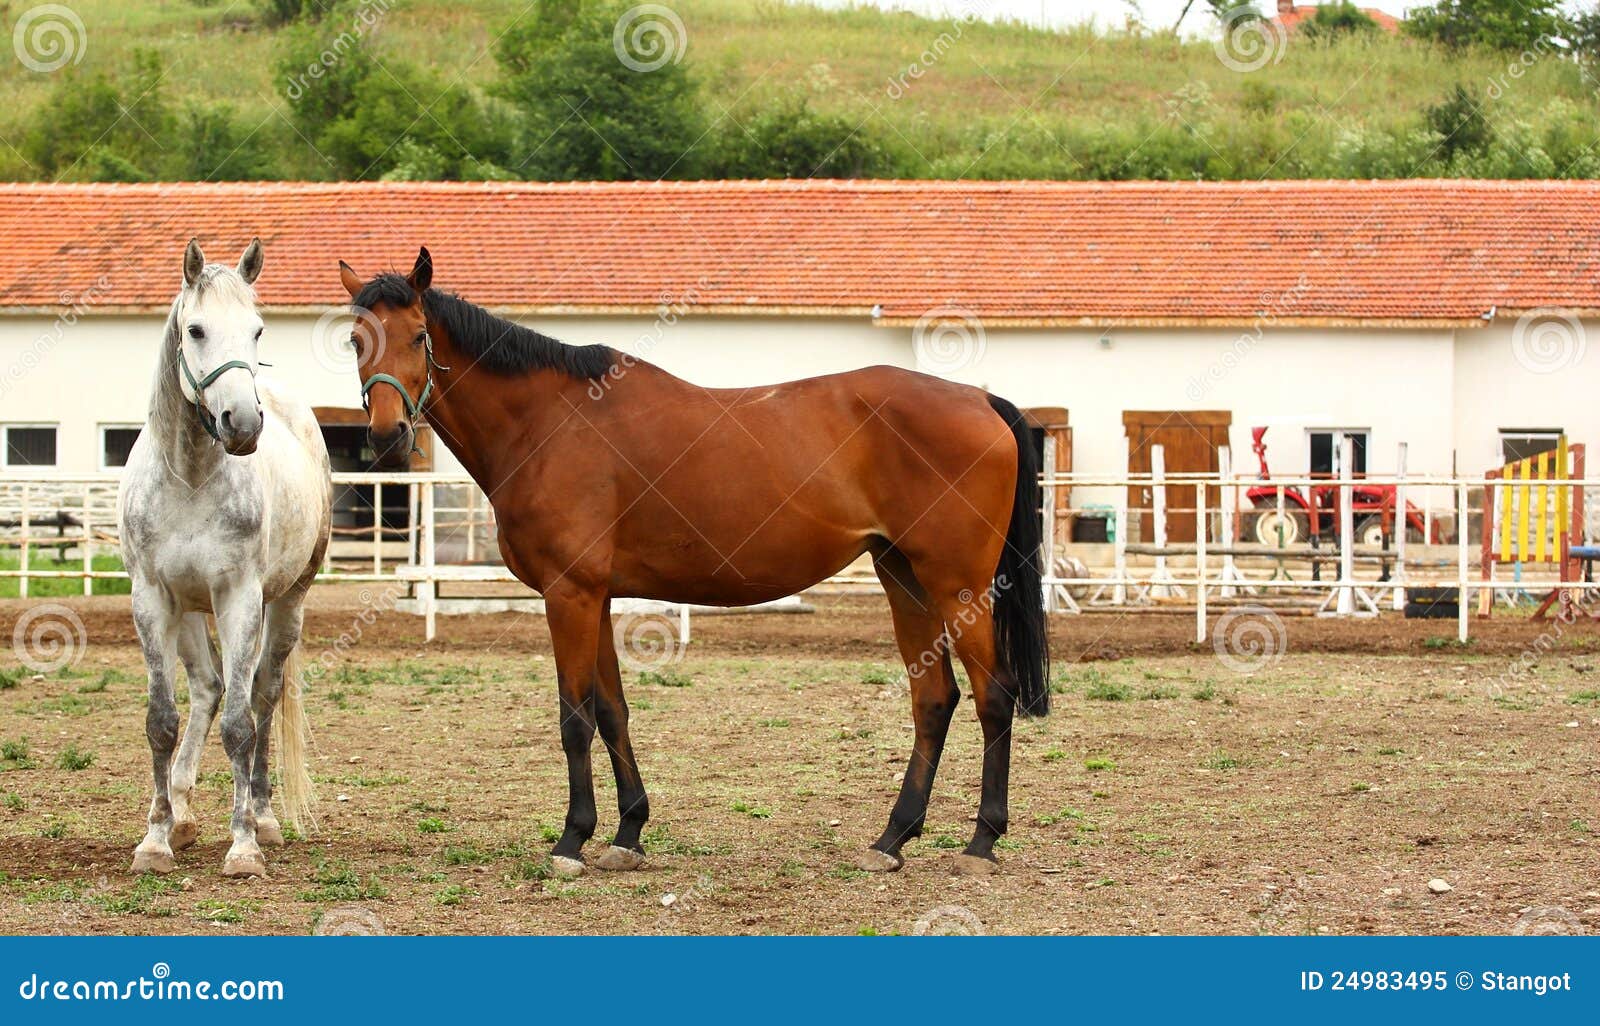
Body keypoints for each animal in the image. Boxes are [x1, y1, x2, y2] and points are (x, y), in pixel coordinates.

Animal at [120, 239, 332, 878]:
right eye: (196, 329)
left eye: (258, 330)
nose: (242, 423)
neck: (190, 475)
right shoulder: (152, 598)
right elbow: (161, 722)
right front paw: (155, 839)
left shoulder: (240, 598)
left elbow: (241, 725)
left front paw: (243, 847)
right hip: (190, 609)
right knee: (208, 688)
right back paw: (183, 814)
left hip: (285, 603)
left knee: (260, 694)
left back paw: (261, 816)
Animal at [338, 248, 1048, 877]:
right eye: (354, 340)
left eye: (420, 335)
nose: (387, 435)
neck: (547, 422)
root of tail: (979, 400)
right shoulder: (595, 596)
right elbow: (611, 710)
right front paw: (627, 832)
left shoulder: (569, 593)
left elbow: (574, 717)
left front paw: (571, 840)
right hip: (903, 576)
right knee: (934, 699)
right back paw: (892, 838)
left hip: (958, 588)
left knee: (994, 696)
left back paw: (981, 843)